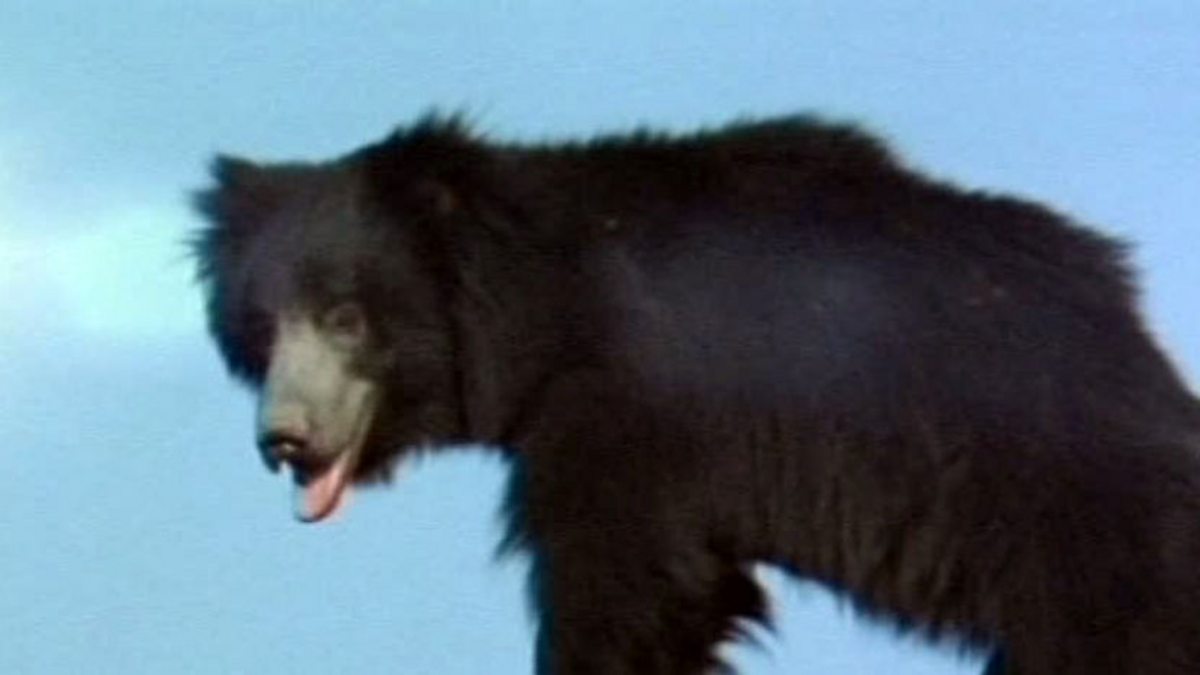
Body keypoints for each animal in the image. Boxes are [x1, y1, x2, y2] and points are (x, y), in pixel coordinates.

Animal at [193, 114, 1200, 674]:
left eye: (346, 317)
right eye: (263, 326)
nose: (284, 439)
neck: (544, 304)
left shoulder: (634, 408)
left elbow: (633, 587)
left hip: (1078, 540)